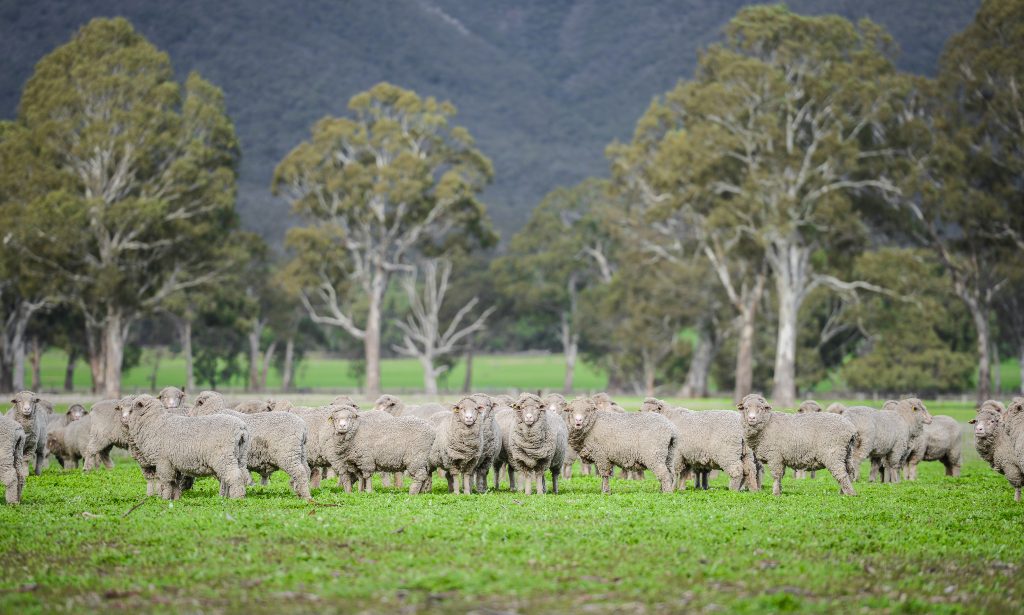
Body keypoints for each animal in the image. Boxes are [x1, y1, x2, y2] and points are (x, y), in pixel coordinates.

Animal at [122, 394, 250, 499]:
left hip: (224, 457)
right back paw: (230, 496)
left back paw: (236, 498)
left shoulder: (163, 461)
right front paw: (175, 498)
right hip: (240, 456)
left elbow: (166, 482)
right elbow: (175, 483)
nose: (123, 420)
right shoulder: (173, 463)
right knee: (242, 474)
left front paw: (165, 498)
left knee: (234, 476)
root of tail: (241, 428)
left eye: (131, 410)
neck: (154, 423)